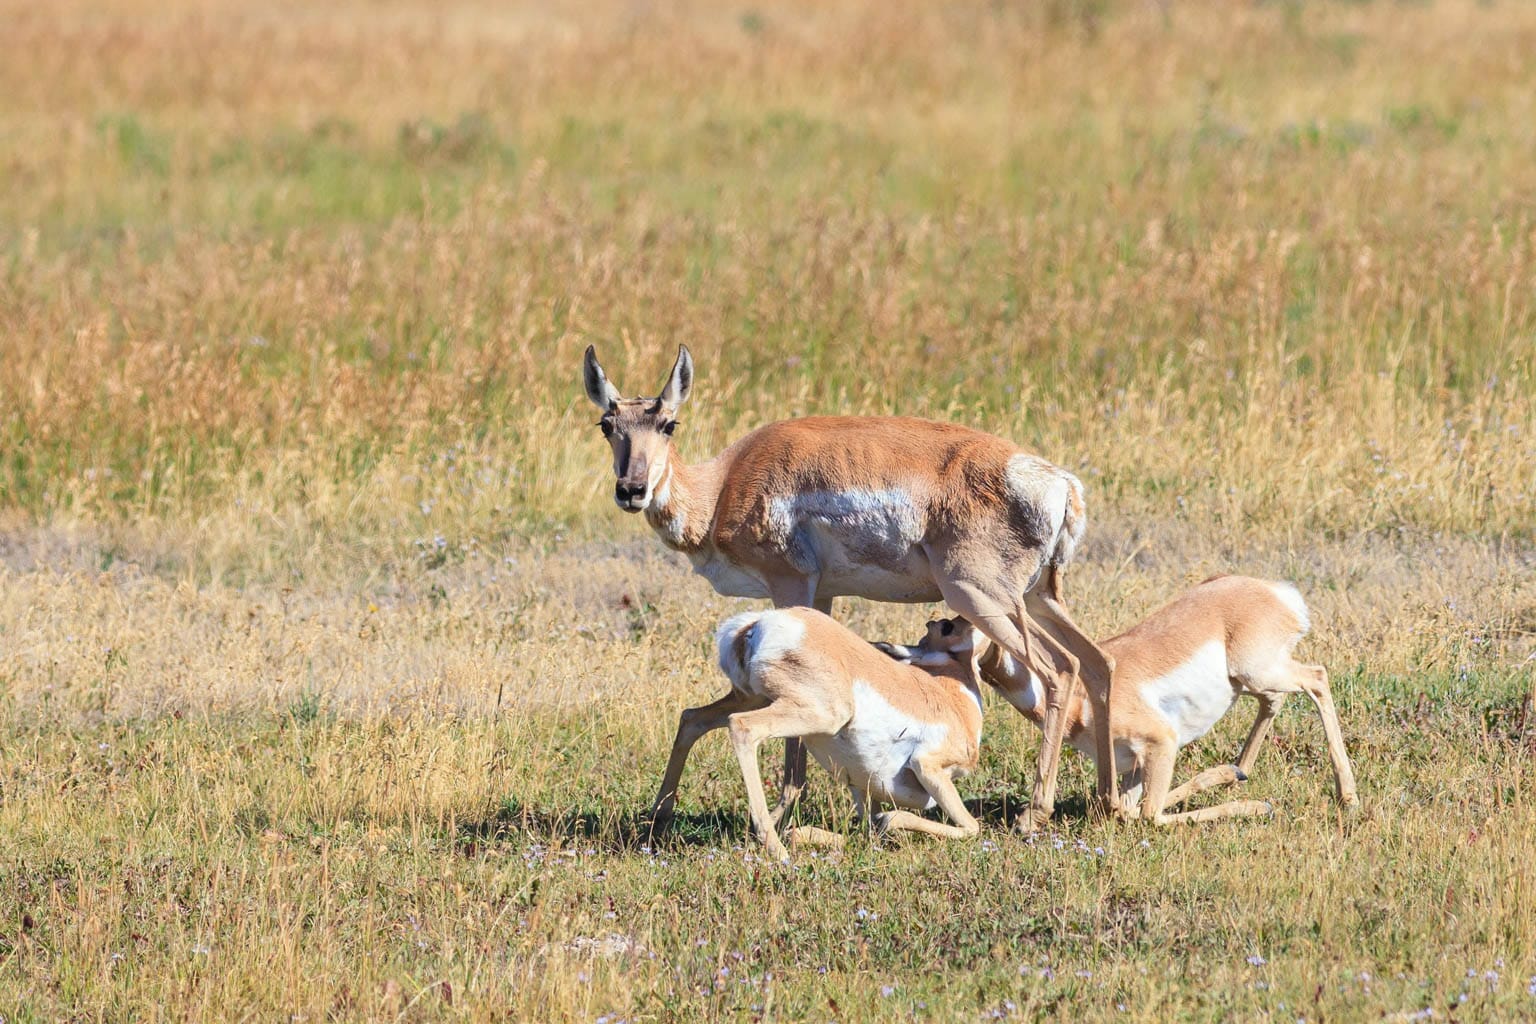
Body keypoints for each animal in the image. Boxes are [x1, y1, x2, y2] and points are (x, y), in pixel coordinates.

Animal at [582, 344, 1118, 832]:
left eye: (668, 424)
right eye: (607, 425)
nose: (631, 490)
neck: (726, 485)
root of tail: (1061, 484)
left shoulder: (791, 586)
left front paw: (781, 813)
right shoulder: (823, 594)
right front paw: (659, 815)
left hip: (980, 598)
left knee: (1058, 669)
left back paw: (1034, 812)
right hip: (1036, 599)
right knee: (1096, 662)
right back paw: (1110, 801)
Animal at [715, 607, 987, 861]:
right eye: (947, 627)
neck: (954, 699)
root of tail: (762, 620)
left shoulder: (860, 787)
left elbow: (864, 834)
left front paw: (803, 834)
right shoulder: (928, 767)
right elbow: (971, 827)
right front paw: (890, 819)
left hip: (751, 699)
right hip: (820, 714)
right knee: (741, 726)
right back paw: (777, 850)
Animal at [878, 575, 1359, 824]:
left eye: (948, 625)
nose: (938, 618)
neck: (1080, 702)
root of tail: (1276, 593)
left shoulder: (1162, 743)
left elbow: (1146, 815)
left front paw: (1255, 805)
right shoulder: (1134, 766)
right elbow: (1128, 808)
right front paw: (1229, 780)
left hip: (1260, 672)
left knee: (1317, 679)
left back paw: (1346, 796)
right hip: (1253, 680)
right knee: (1276, 700)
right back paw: (1239, 771)